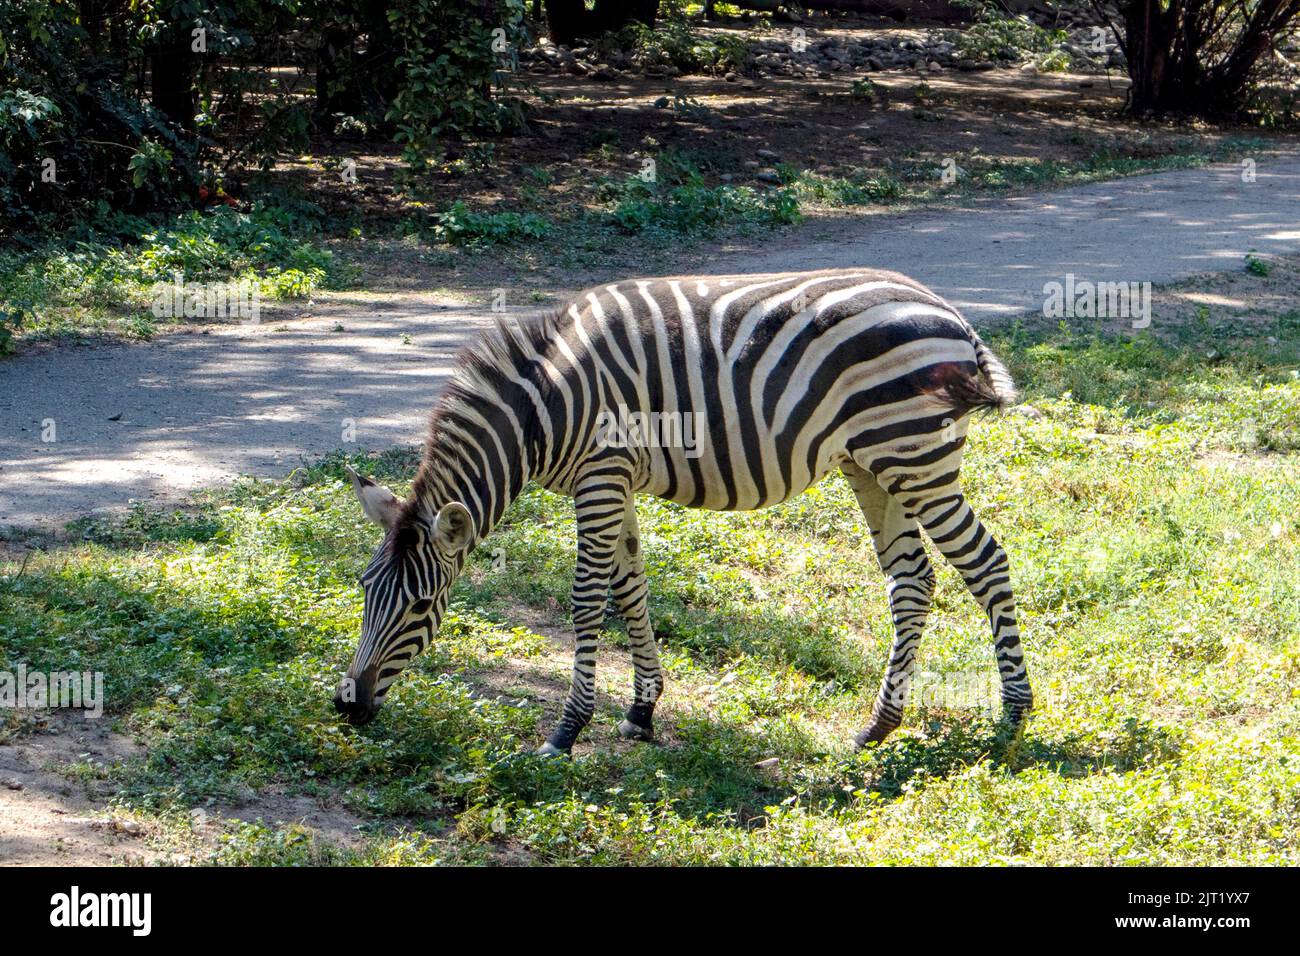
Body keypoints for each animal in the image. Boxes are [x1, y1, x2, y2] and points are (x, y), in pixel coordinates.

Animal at [334, 267, 1033, 755]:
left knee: (986, 562)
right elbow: (630, 590)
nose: (348, 706)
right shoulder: (615, 482)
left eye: (422, 607)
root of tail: (949, 313)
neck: (546, 407)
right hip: (873, 464)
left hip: (915, 457)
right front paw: (642, 711)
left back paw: (1014, 715)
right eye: (364, 590)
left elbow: (587, 599)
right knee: (912, 581)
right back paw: (878, 727)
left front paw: (567, 730)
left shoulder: (601, 476)